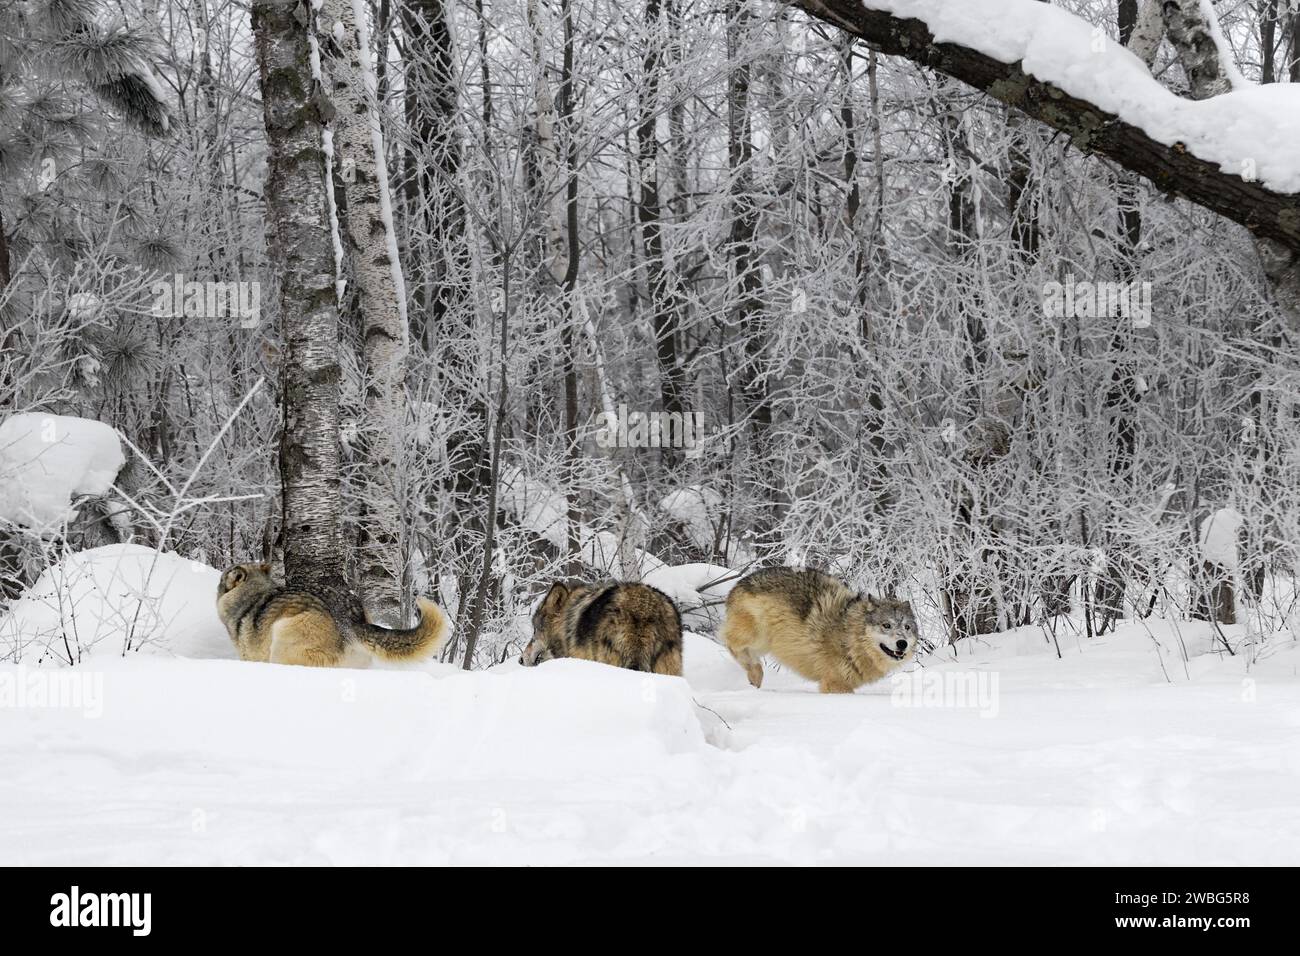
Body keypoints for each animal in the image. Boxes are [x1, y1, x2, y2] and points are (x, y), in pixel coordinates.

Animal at [719, 567, 917, 693]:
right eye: (886, 625)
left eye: (907, 627)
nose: (902, 643)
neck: (848, 636)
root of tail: (739, 582)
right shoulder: (835, 684)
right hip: (757, 635)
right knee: (730, 642)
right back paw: (754, 672)